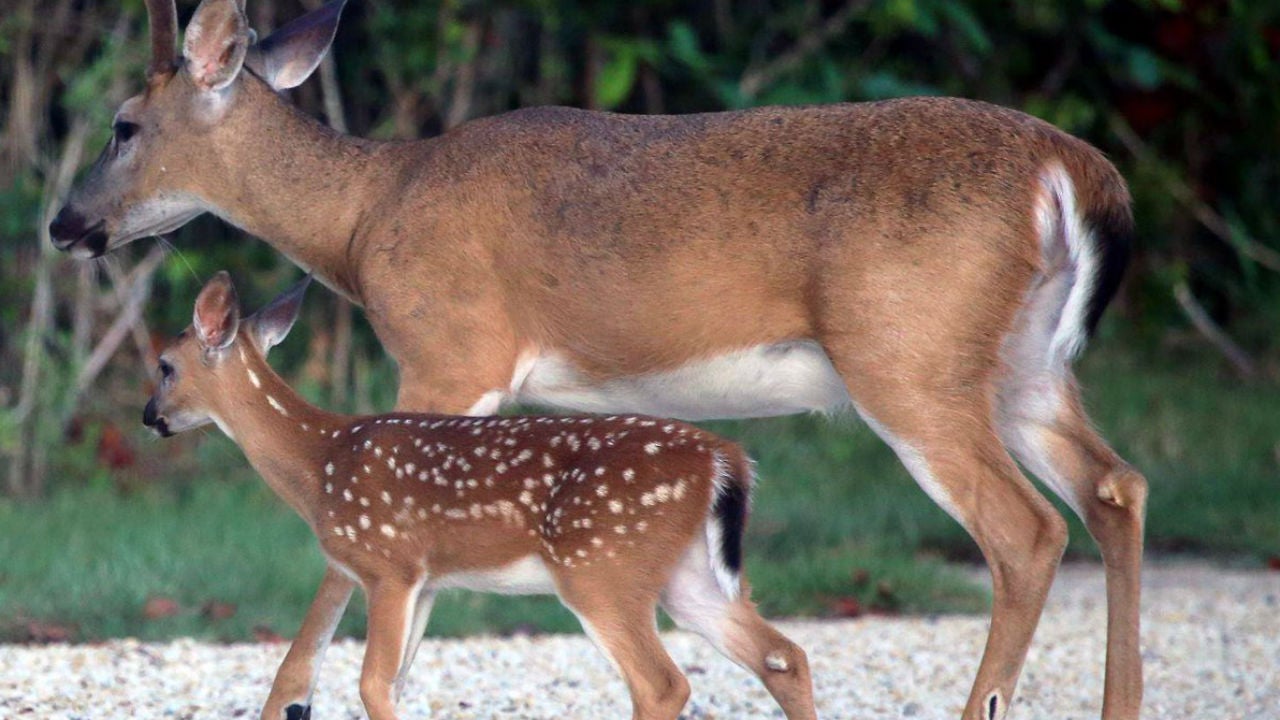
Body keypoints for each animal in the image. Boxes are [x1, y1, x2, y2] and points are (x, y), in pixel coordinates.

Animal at [142, 271, 818, 720]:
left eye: (165, 365)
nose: (150, 418)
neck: (321, 460)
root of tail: (725, 459)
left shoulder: (389, 564)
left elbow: (372, 684)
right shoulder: (428, 582)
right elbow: (397, 680)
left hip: (601, 567)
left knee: (662, 683)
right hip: (687, 574)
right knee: (783, 655)